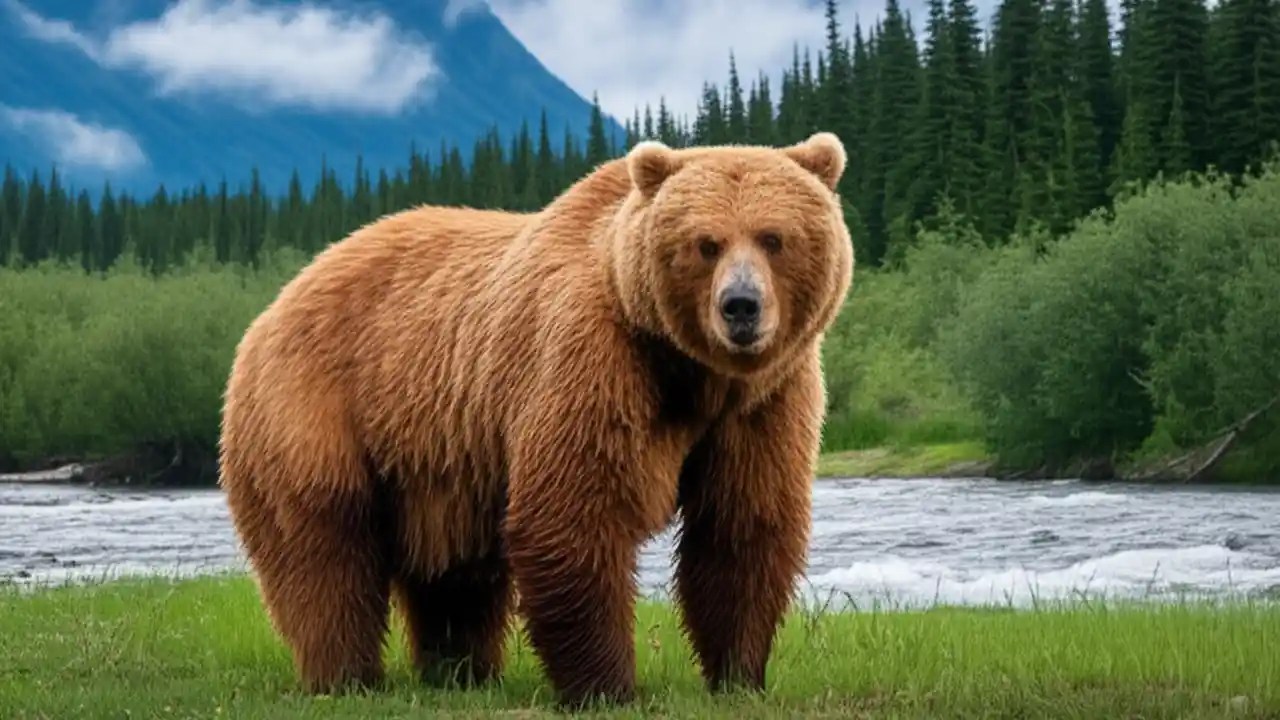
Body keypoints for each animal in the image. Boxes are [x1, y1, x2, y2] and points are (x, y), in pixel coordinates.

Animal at [217, 131, 855, 709]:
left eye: (773, 238)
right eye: (706, 243)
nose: (741, 306)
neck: (690, 373)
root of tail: (274, 304)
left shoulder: (765, 400)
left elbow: (742, 523)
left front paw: (739, 673)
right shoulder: (591, 358)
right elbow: (574, 512)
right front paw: (606, 686)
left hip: (439, 460)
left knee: (456, 572)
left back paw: (461, 670)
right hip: (312, 409)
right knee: (324, 551)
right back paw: (347, 676)